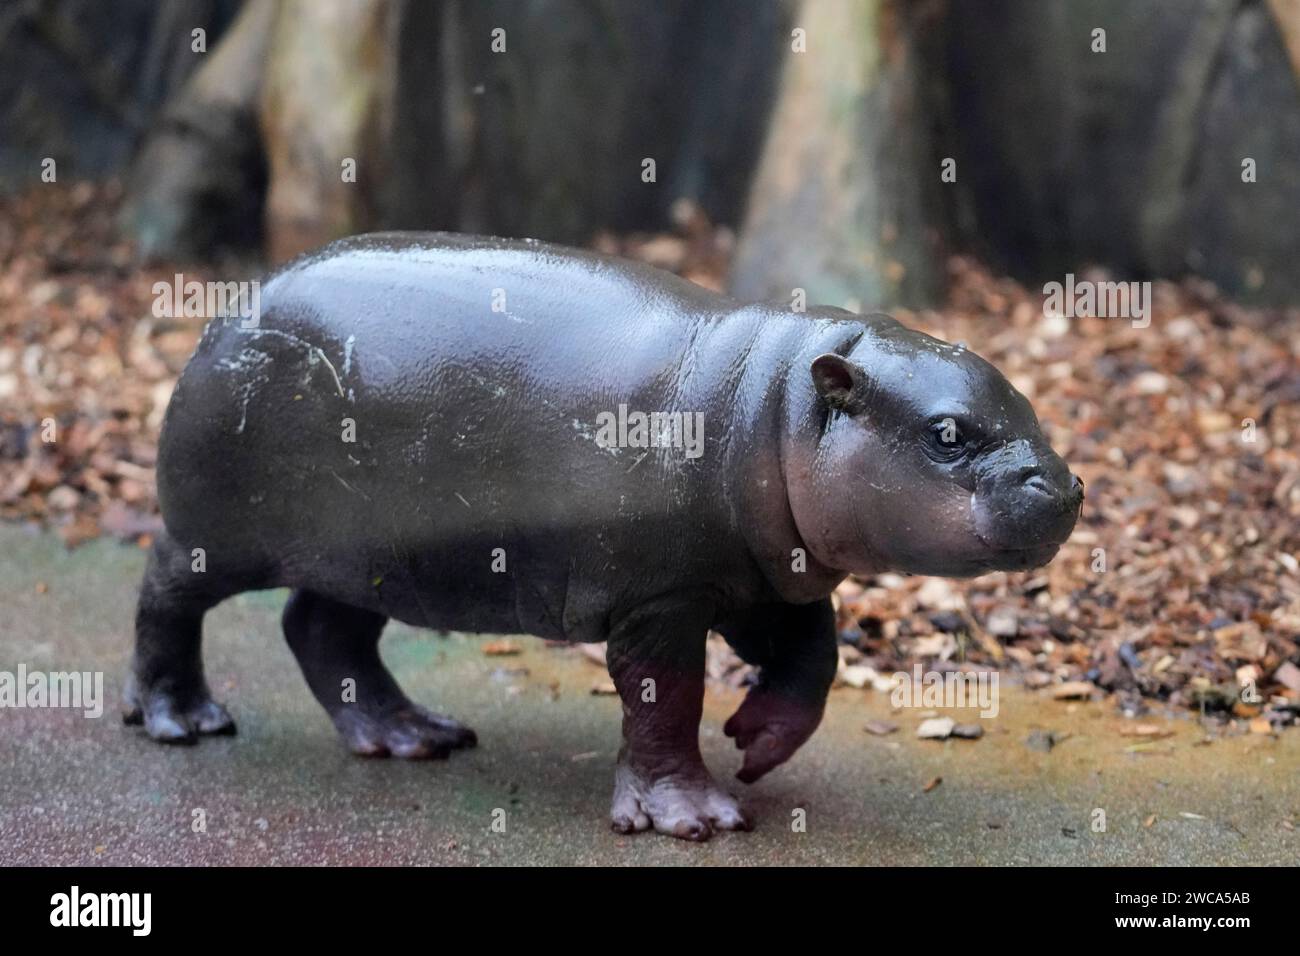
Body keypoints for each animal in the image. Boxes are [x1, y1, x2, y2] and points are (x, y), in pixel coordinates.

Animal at [125, 233, 1082, 840]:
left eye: (1031, 404)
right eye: (947, 434)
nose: (1066, 486)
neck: (771, 406)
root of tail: (230, 306)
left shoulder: (765, 579)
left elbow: (812, 660)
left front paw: (756, 746)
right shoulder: (659, 599)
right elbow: (665, 697)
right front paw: (693, 818)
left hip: (375, 554)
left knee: (323, 630)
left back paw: (414, 737)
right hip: (219, 527)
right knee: (168, 589)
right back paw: (181, 720)